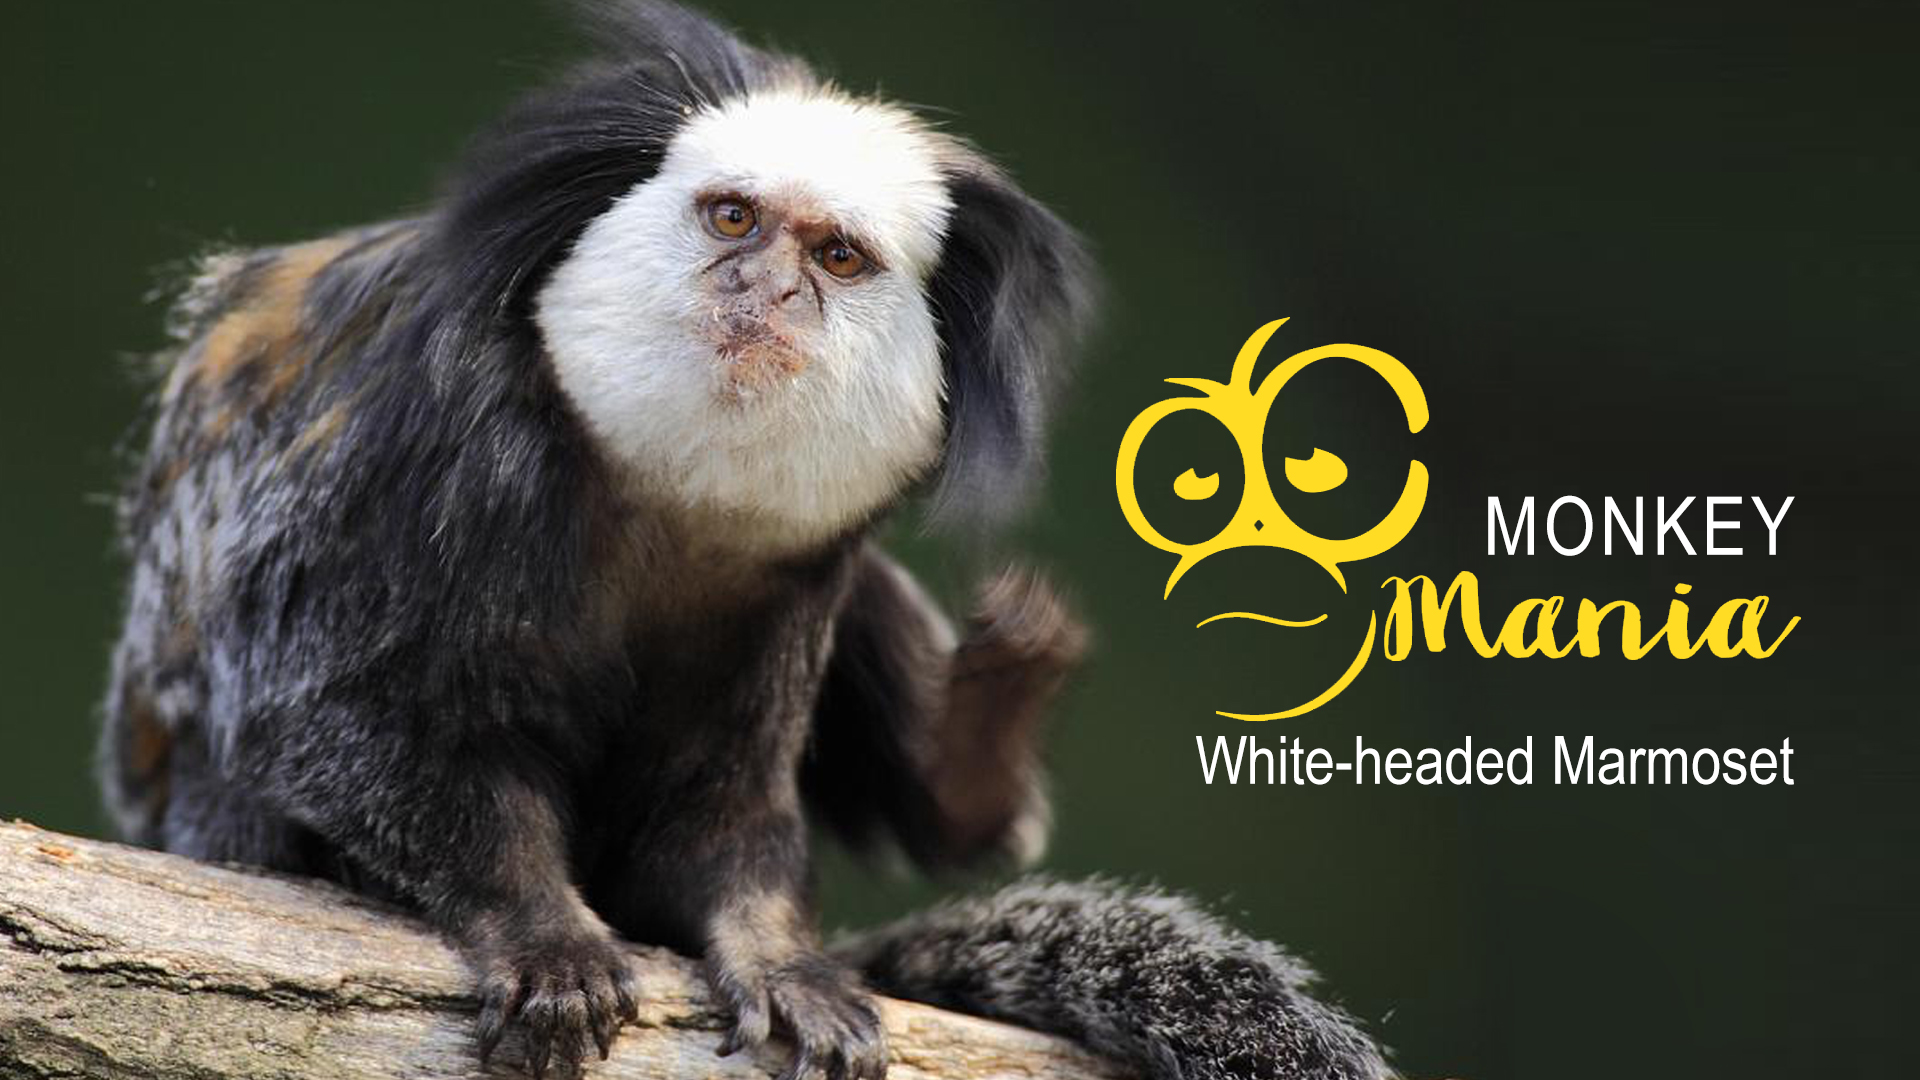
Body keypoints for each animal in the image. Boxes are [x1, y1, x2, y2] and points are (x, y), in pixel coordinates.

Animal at [99, 3, 1391, 1079]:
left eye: (836, 256)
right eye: (734, 217)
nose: (766, 289)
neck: (655, 495)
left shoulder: (801, 572)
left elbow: (722, 814)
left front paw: (778, 958)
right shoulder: (426, 451)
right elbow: (336, 720)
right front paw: (543, 930)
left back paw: (978, 741)